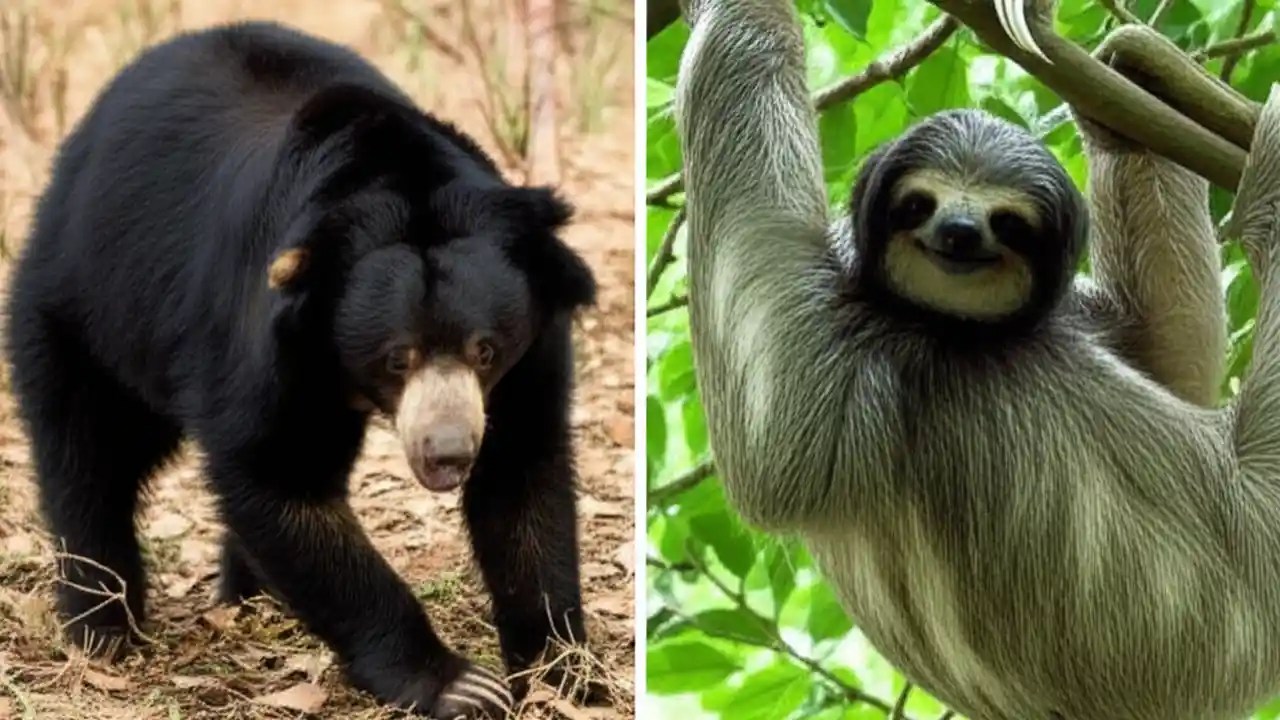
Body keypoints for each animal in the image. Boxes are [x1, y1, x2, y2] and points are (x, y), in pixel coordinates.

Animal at [3, 20, 598, 719]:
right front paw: (460, 684)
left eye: (486, 349)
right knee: (88, 455)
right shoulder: (266, 331)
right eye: (397, 356)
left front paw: (563, 672)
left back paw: (245, 598)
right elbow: (276, 474)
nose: (448, 453)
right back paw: (103, 626)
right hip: (89, 306)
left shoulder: (530, 352)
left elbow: (523, 475)